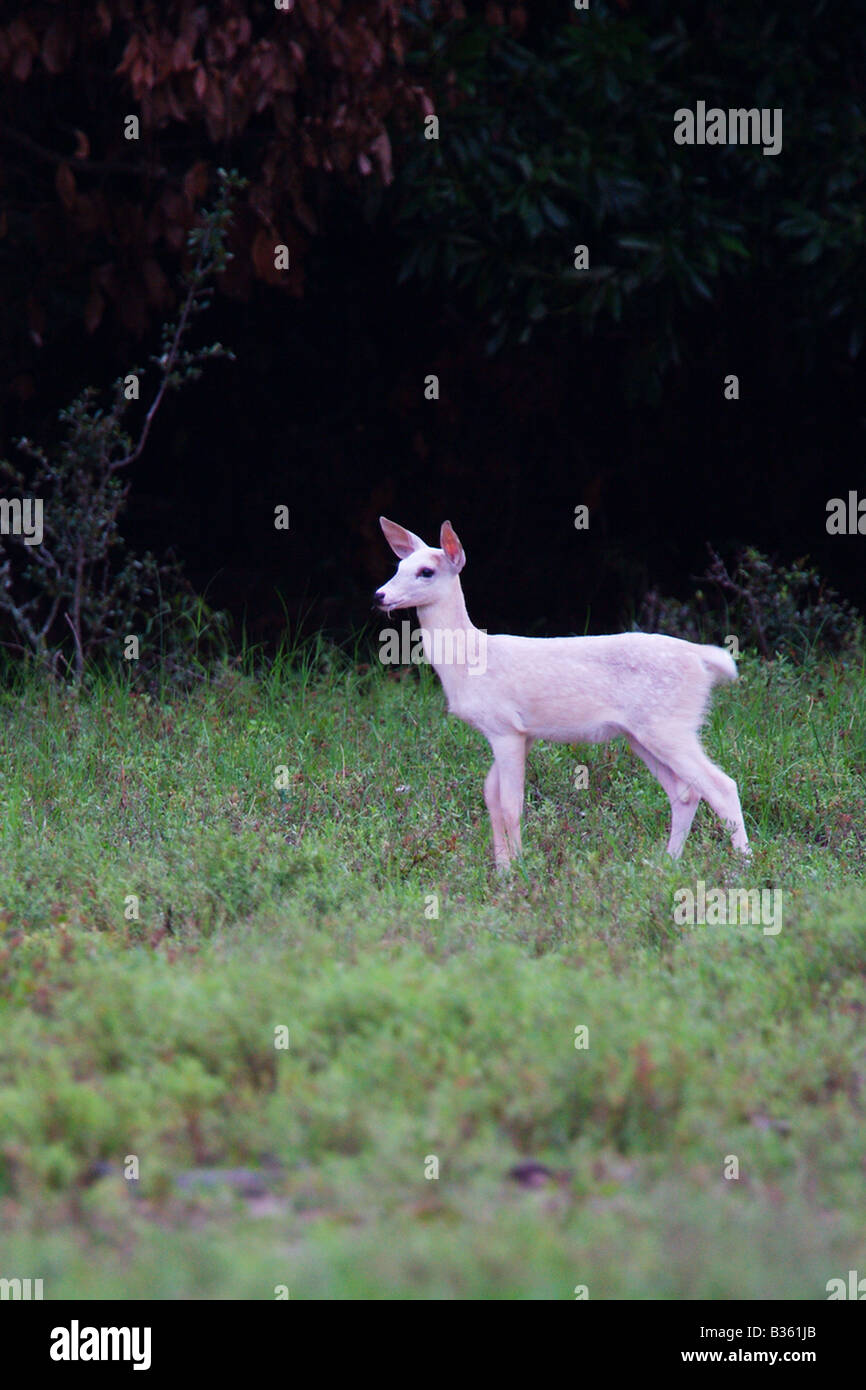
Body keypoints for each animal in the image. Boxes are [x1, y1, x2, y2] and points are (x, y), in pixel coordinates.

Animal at [374, 517, 750, 870]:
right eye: (398, 567)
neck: (470, 661)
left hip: (670, 724)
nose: (379, 596)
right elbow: (491, 796)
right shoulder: (521, 732)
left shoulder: (505, 726)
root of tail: (700, 657)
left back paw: (744, 864)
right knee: (685, 793)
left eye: (426, 571)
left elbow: (511, 804)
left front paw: (520, 869)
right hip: (643, 734)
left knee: (722, 786)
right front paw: (502, 870)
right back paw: (667, 863)